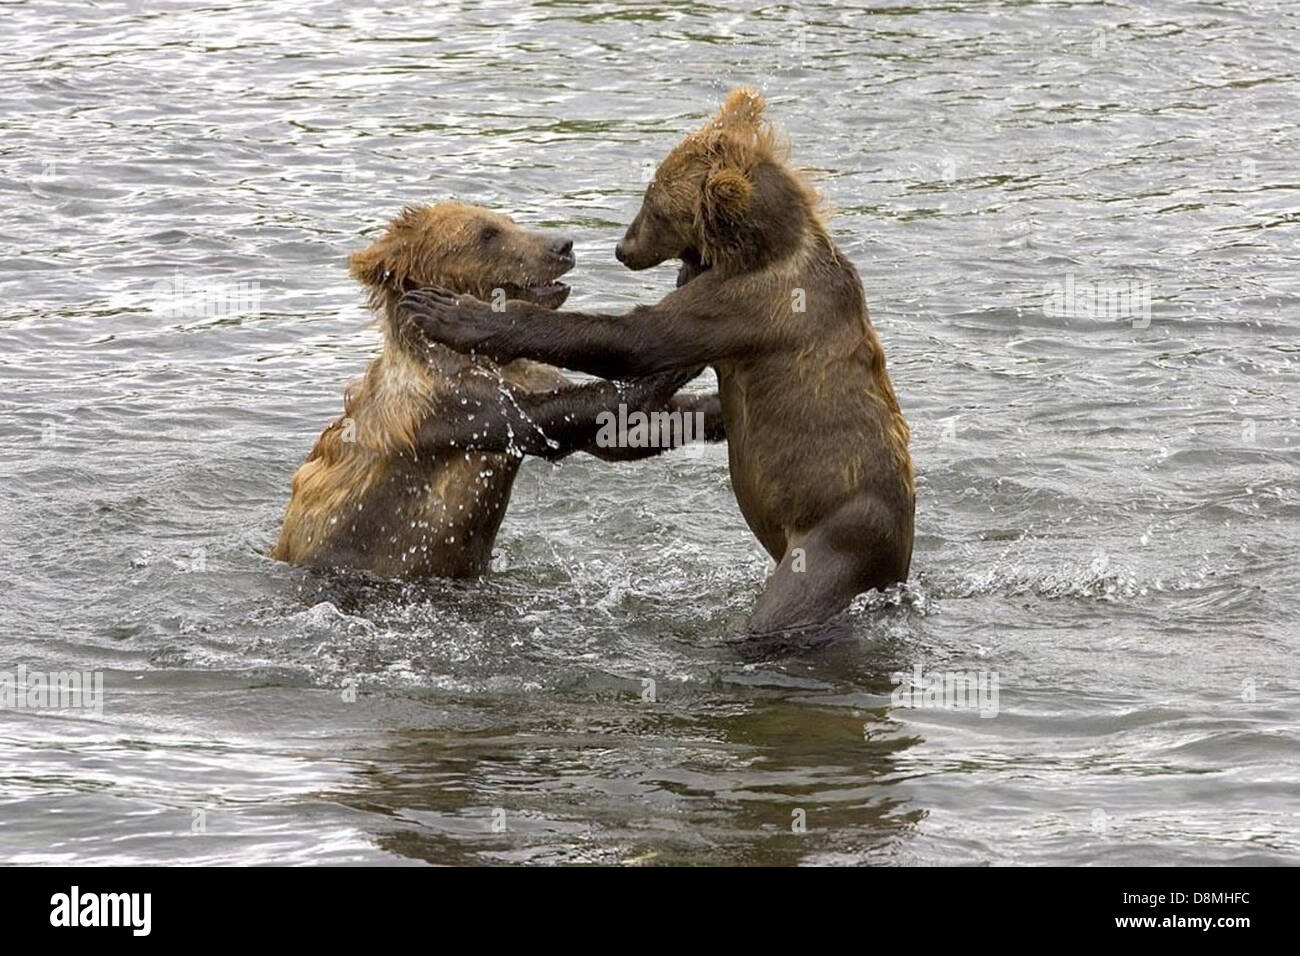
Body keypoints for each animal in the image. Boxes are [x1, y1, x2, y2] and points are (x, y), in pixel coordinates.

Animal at [271, 201, 724, 580]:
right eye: (487, 233)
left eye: (507, 221)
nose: (563, 244)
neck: (481, 360)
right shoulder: (448, 406)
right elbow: (545, 420)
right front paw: (681, 354)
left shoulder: (527, 374)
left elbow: (620, 435)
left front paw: (715, 407)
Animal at [397, 90, 914, 633]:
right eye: (649, 195)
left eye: (657, 208)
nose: (622, 248)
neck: (755, 250)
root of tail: (896, 570)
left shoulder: (751, 305)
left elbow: (636, 338)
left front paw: (452, 312)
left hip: (836, 539)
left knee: (789, 602)